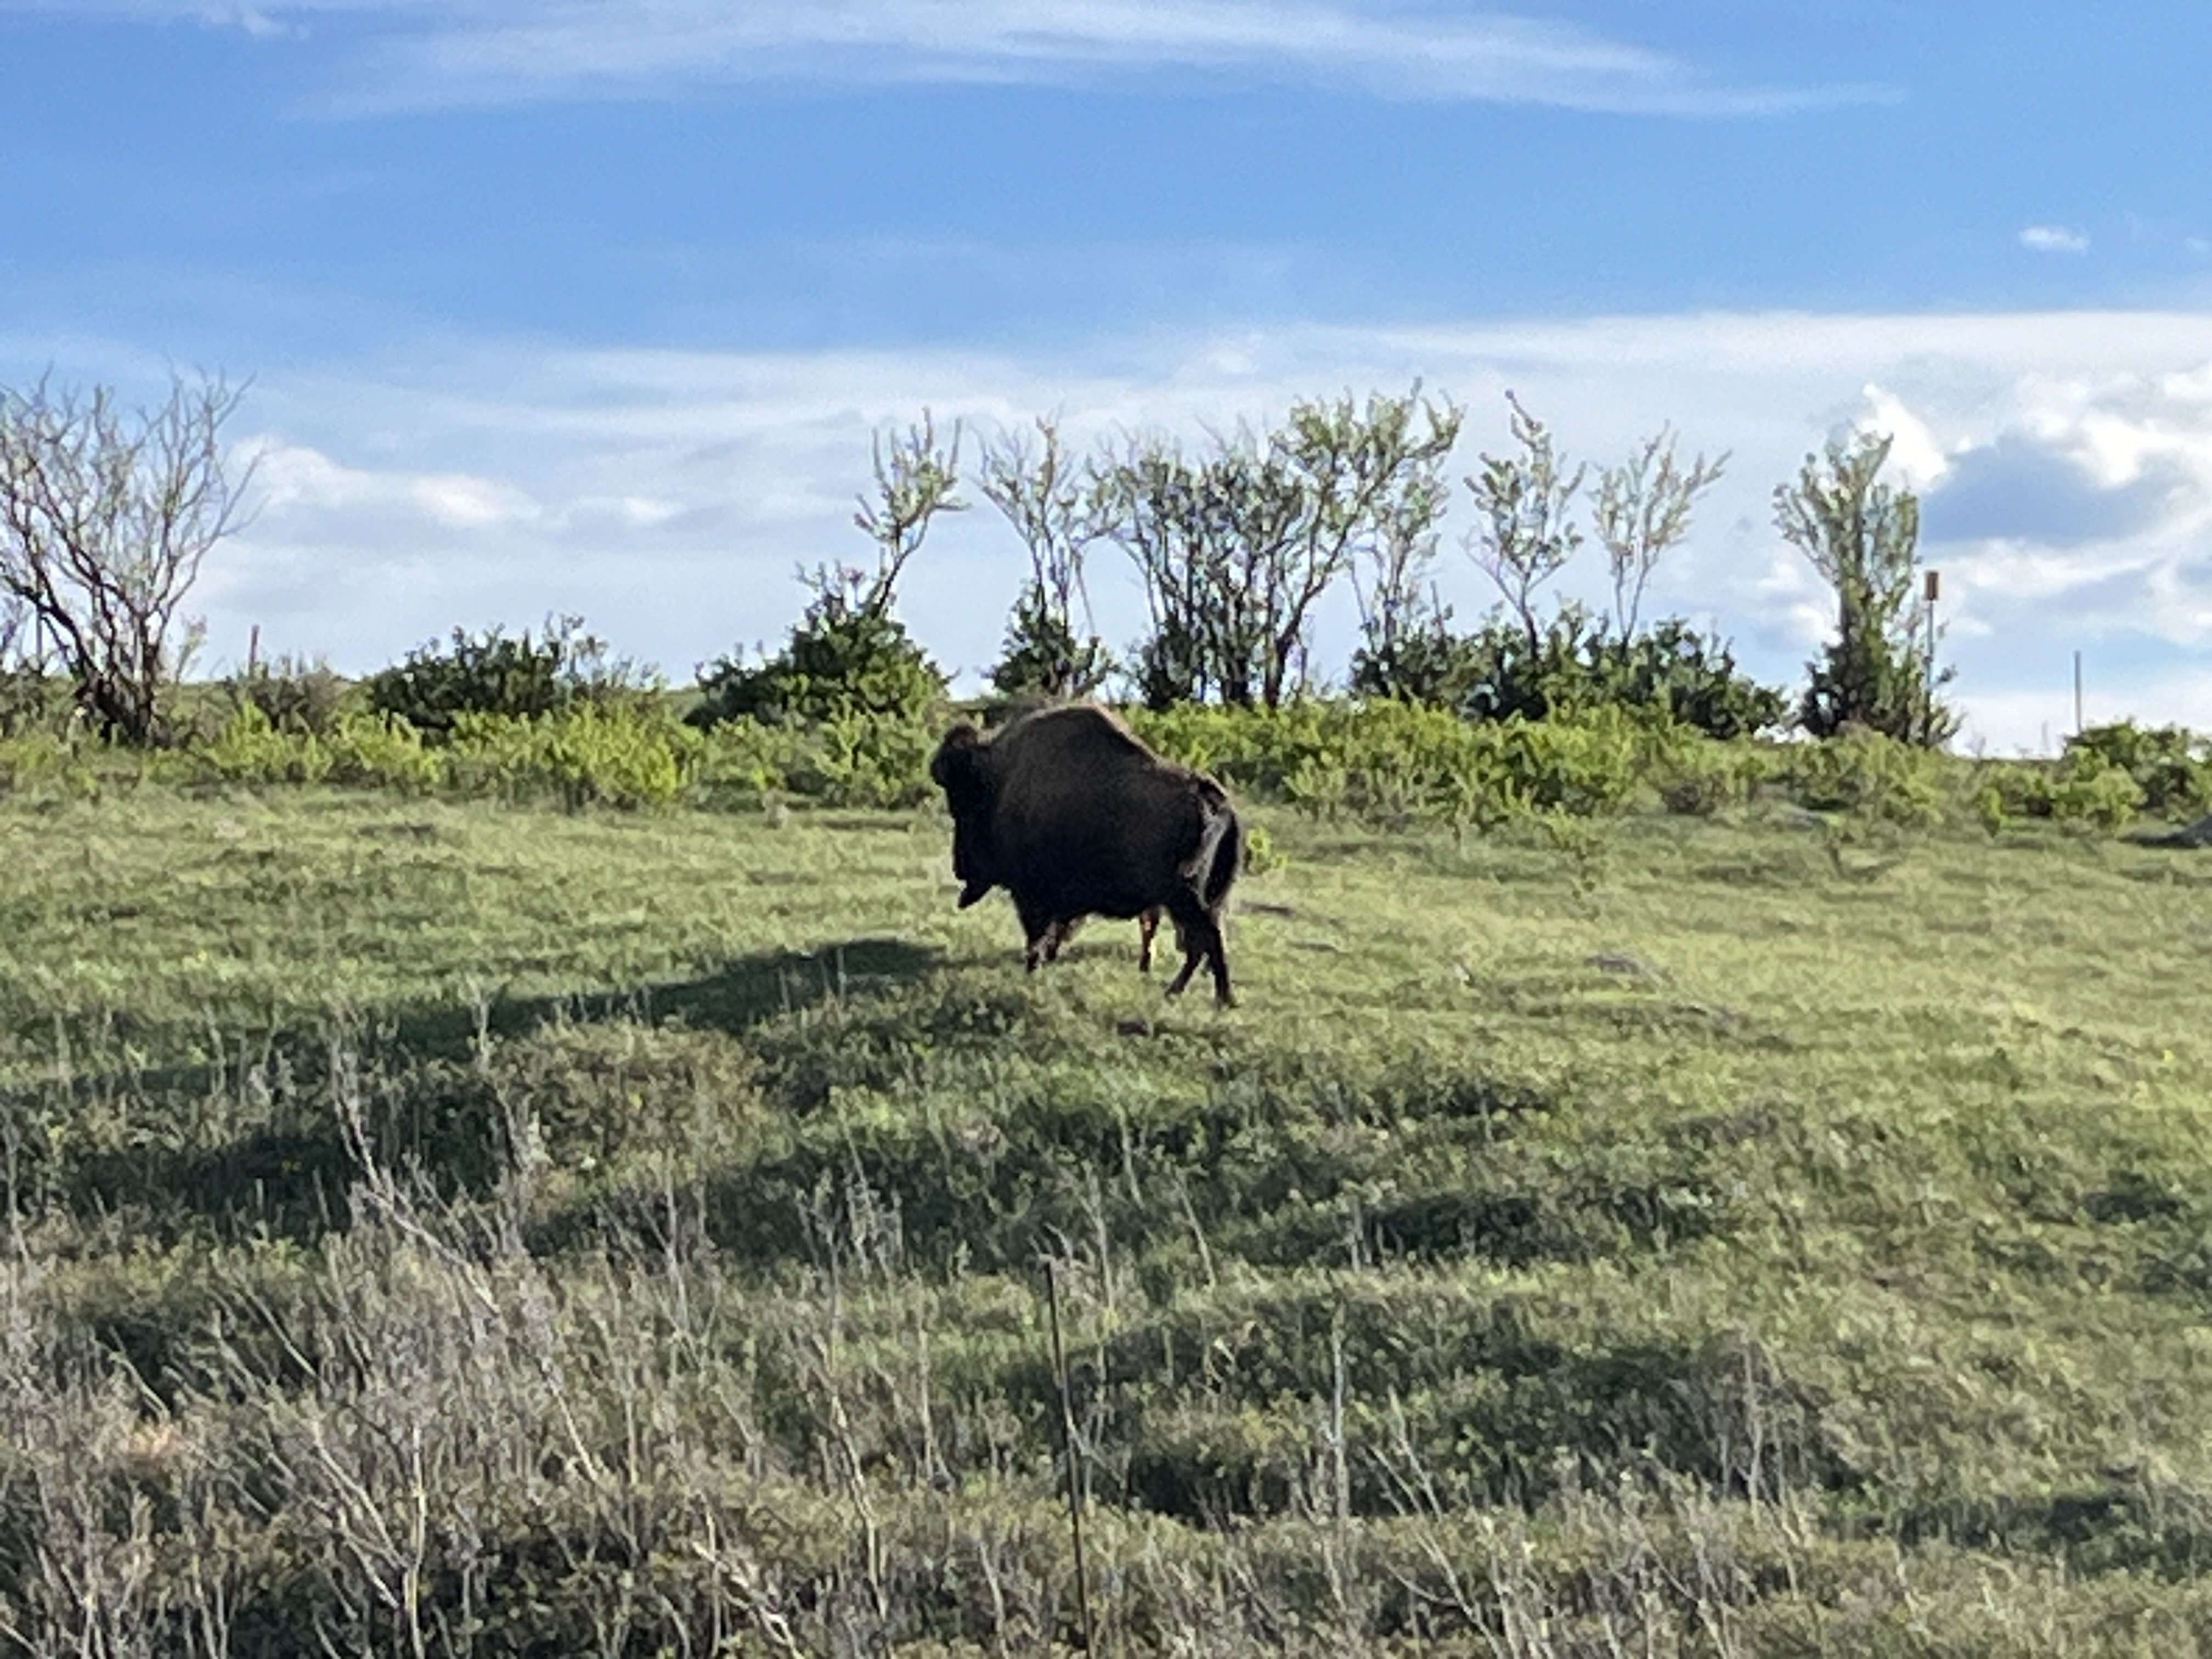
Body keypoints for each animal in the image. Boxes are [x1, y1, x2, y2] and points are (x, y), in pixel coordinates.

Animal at [930, 703, 1242, 1005]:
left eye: (964, 808)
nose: (959, 867)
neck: (1000, 782)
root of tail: (1214, 801)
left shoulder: (1031, 895)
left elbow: (1037, 935)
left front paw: (1033, 969)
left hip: (1187, 899)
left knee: (1207, 939)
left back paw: (1220, 999)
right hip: (1204, 899)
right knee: (1203, 942)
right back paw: (1182, 993)